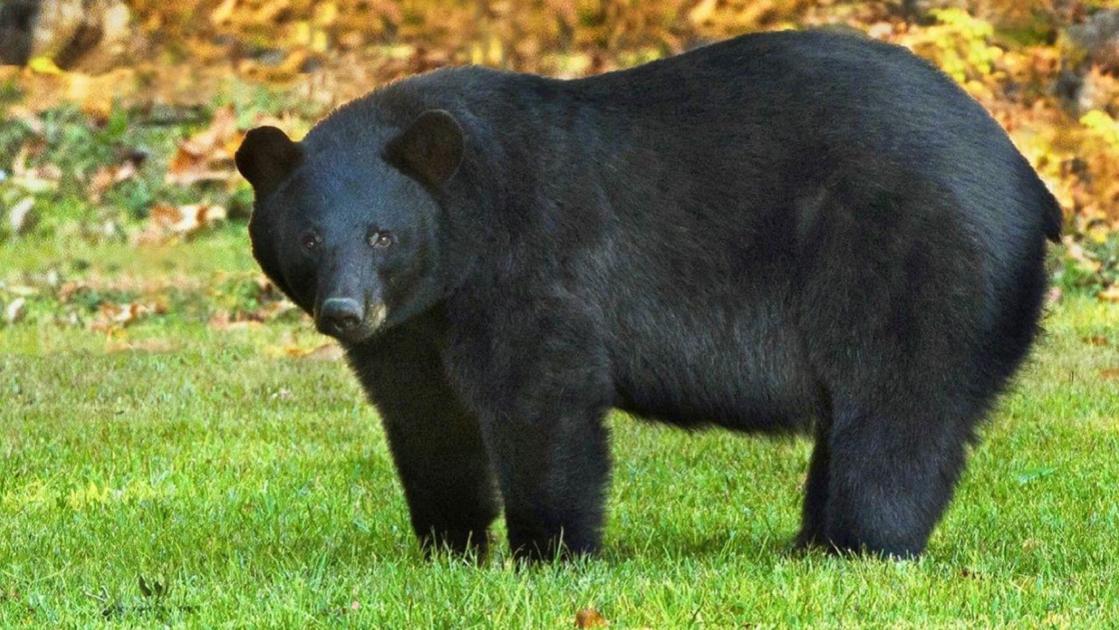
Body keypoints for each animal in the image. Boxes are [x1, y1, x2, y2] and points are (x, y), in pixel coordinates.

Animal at [235, 30, 1061, 561]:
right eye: (309, 239)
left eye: (382, 235)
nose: (346, 313)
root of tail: (1027, 180)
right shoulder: (415, 327)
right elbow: (426, 418)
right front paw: (449, 546)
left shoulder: (528, 261)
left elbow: (541, 398)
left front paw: (549, 553)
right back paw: (808, 544)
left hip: (917, 259)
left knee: (897, 411)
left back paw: (858, 546)